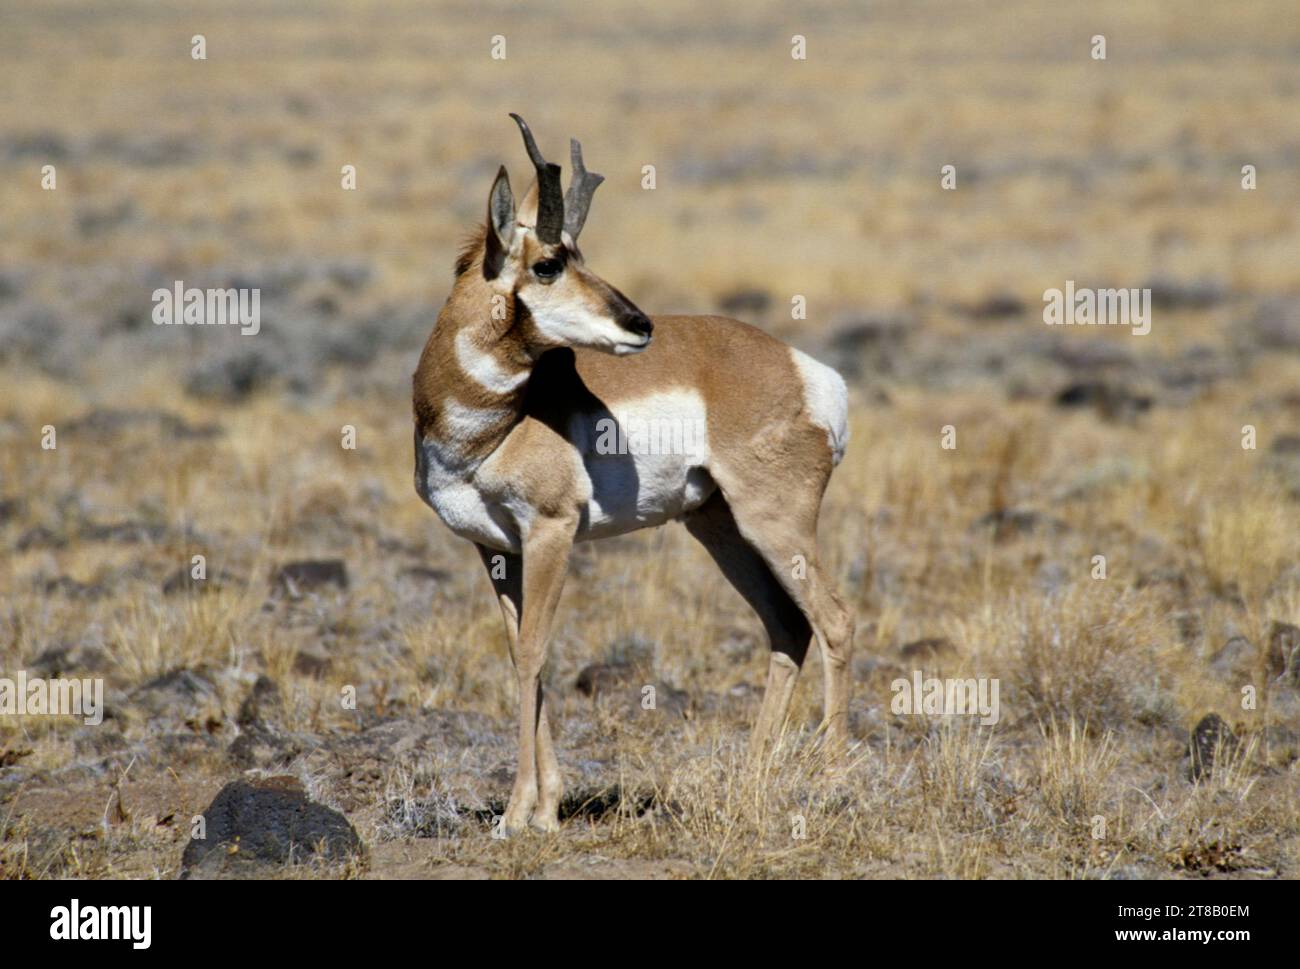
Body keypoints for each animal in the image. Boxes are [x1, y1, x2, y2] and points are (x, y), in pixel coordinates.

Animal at [412, 115, 854, 834]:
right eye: (549, 263)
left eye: (578, 254)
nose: (639, 324)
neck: (490, 424)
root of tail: (807, 371)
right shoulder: (495, 548)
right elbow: (519, 653)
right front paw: (547, 807)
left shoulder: (551, 532)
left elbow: (535, 652)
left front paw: (518, 815)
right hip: (720, 529)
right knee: (788, 627)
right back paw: (749, 781)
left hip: (774, 526)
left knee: (835, 621)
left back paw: (836, 781)